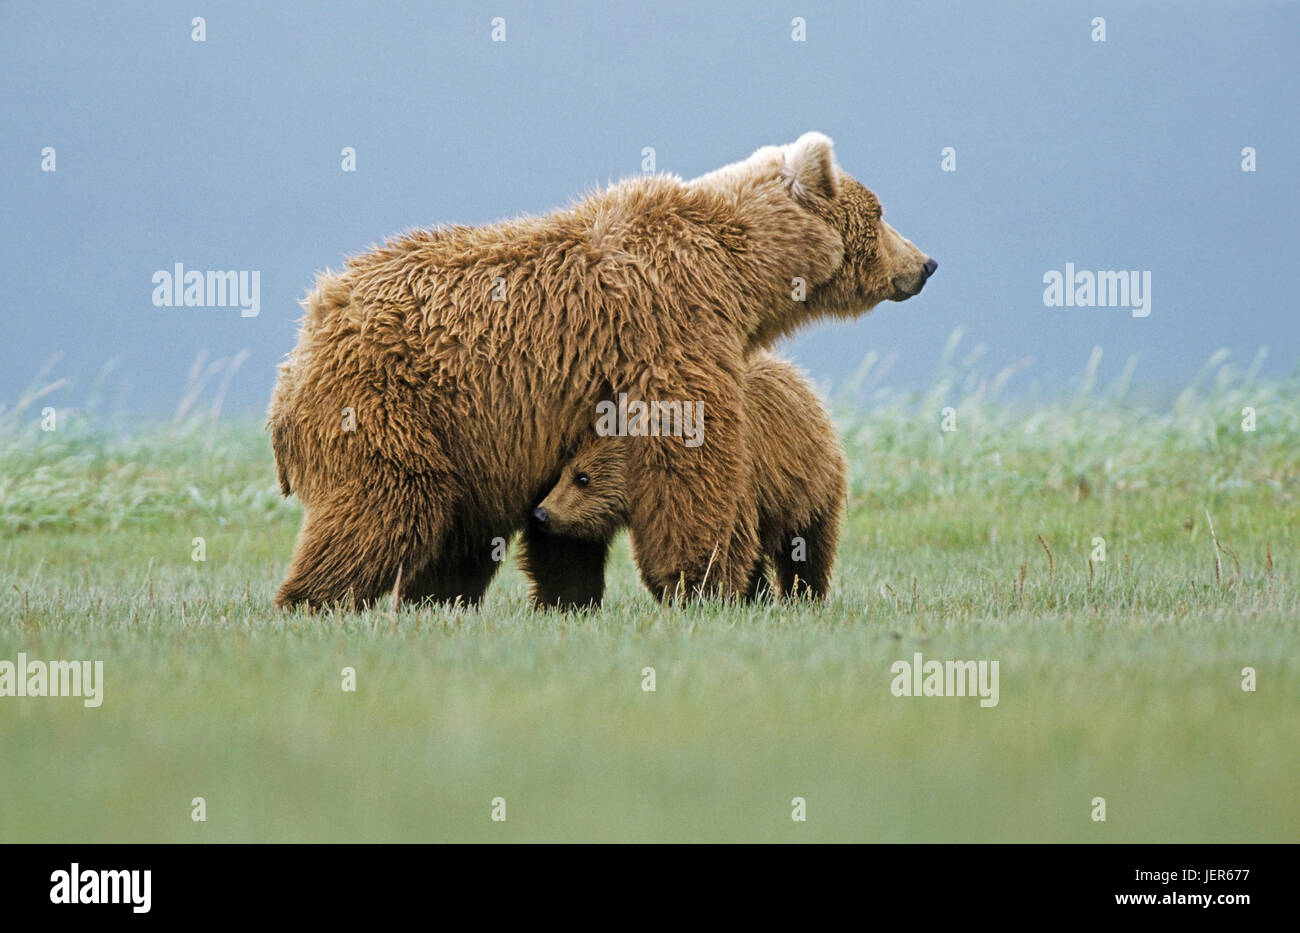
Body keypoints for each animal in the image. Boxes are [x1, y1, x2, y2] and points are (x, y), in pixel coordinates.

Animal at [522, 352, 847, 605]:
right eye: (564, 473)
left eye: (583, 477)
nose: (541, 513)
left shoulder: (726, 488)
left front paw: (706, 595)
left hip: (810, 484)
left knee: (807, 547)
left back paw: (805, 596)